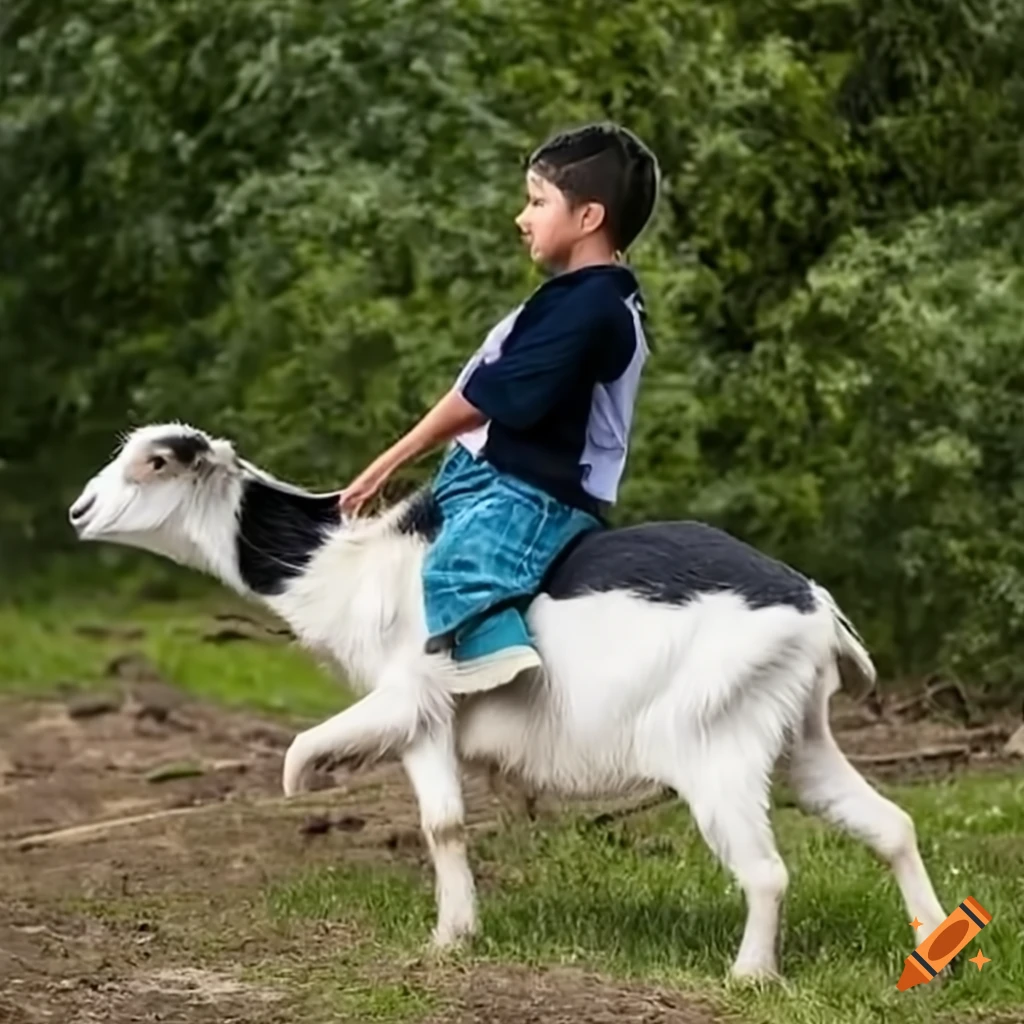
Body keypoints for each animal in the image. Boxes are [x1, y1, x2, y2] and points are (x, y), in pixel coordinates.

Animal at [68, 422, 947, 981]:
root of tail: (818, 611)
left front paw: (448, 938)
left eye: (156, 462)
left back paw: (750, 977)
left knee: (766, 871)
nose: (79, 511)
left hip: (712, 744)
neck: (346, 565)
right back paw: (936, 945)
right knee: (893, 827)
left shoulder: (418, 706)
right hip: (798, 736)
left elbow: (438, 821)